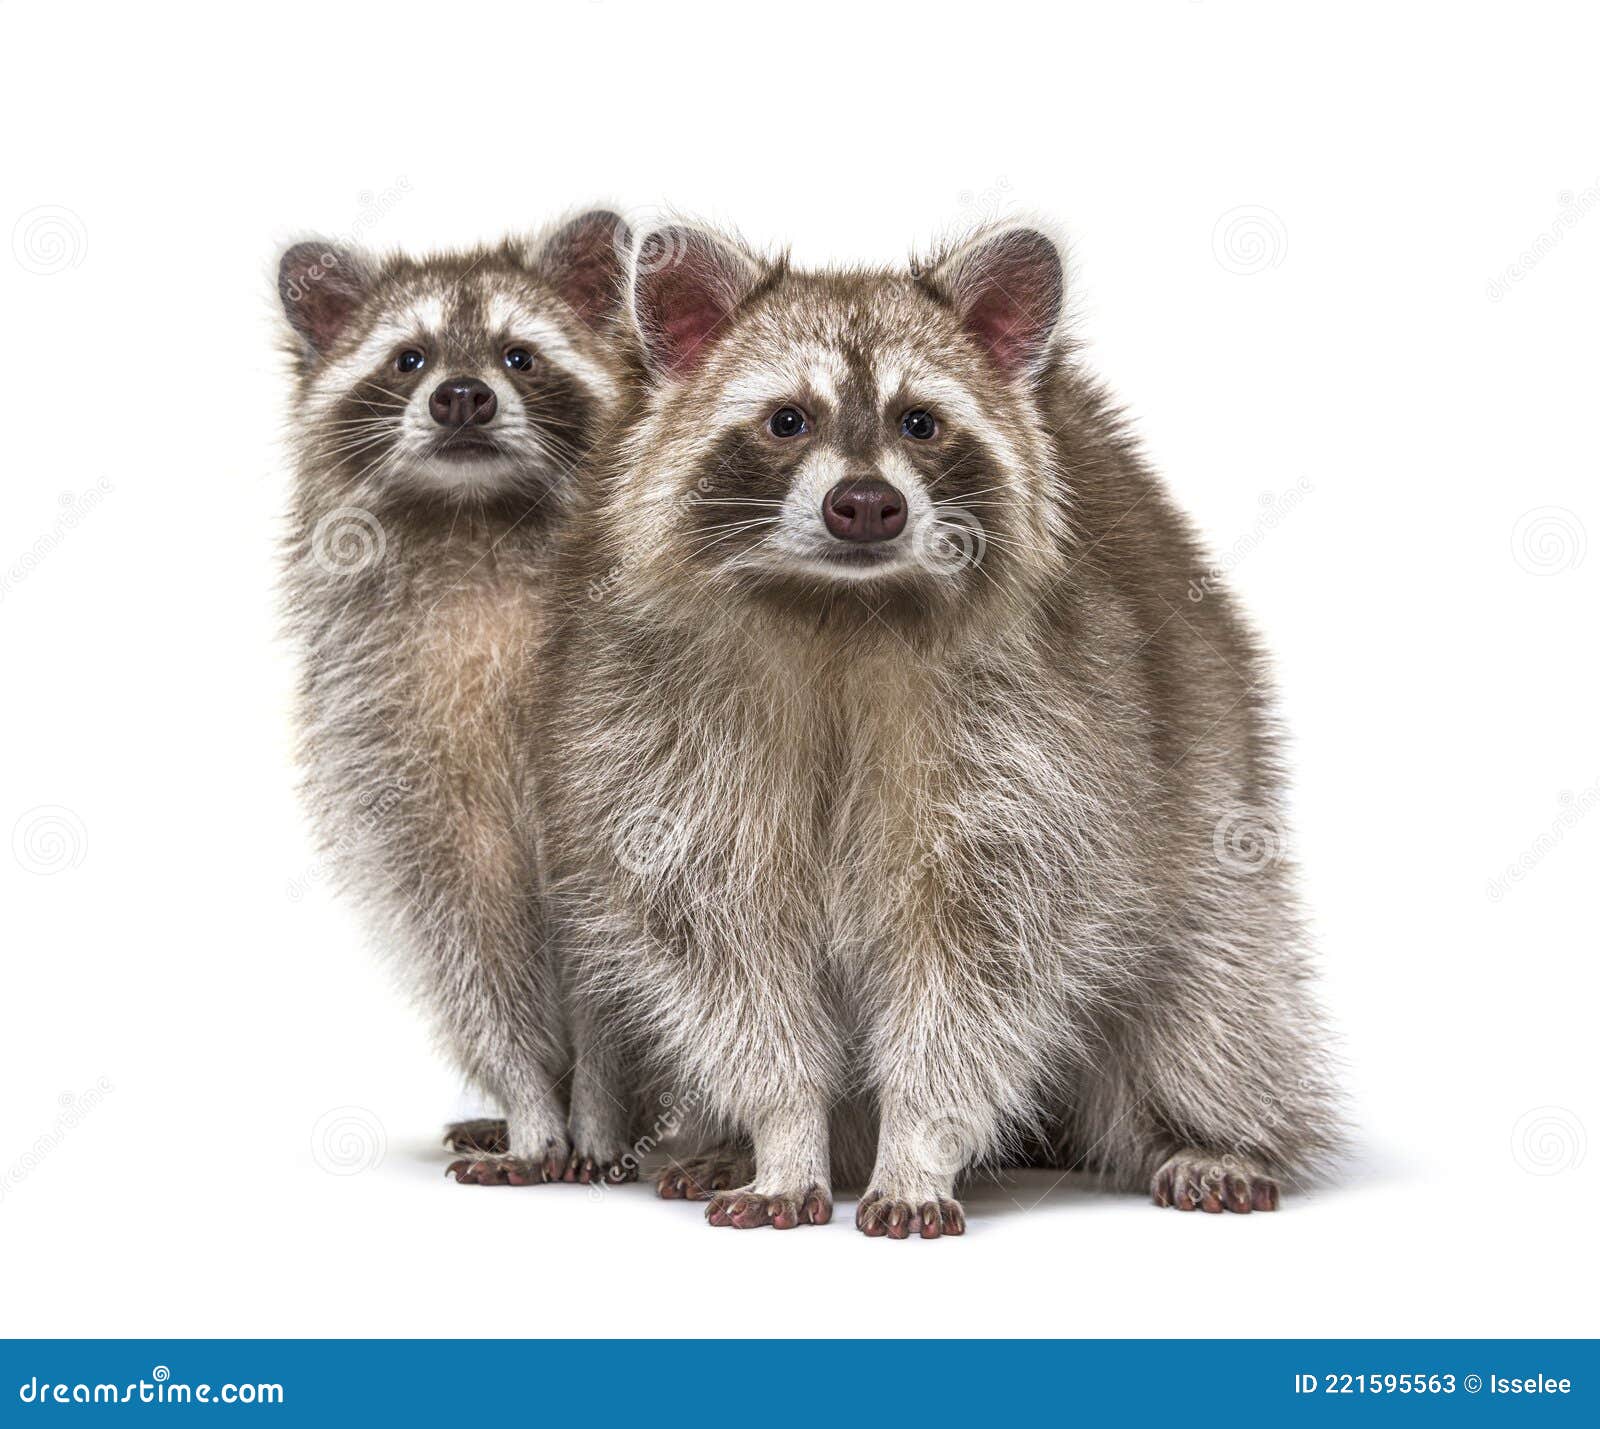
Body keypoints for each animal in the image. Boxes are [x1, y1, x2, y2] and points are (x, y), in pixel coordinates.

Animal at [278, 209, 640, 1186]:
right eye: (409, 358)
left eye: (520, 355)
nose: (463, 397)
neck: (475, 519)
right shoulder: (387, 737)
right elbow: (468, 941)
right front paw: (532, 1106)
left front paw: (598, 1107)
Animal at [536, 217, 1343, 1237]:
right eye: (787, 420)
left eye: (920, 421)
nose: (865, 503)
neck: (843, 607)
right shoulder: (658, 727)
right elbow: (729, 955)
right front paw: (781, 1133)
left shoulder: (1047, 730)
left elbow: (980, 967)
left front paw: (917, 1147)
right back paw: (725, 1142)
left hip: (1213, 854)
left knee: (1217, 1002)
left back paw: (1212, 1134)